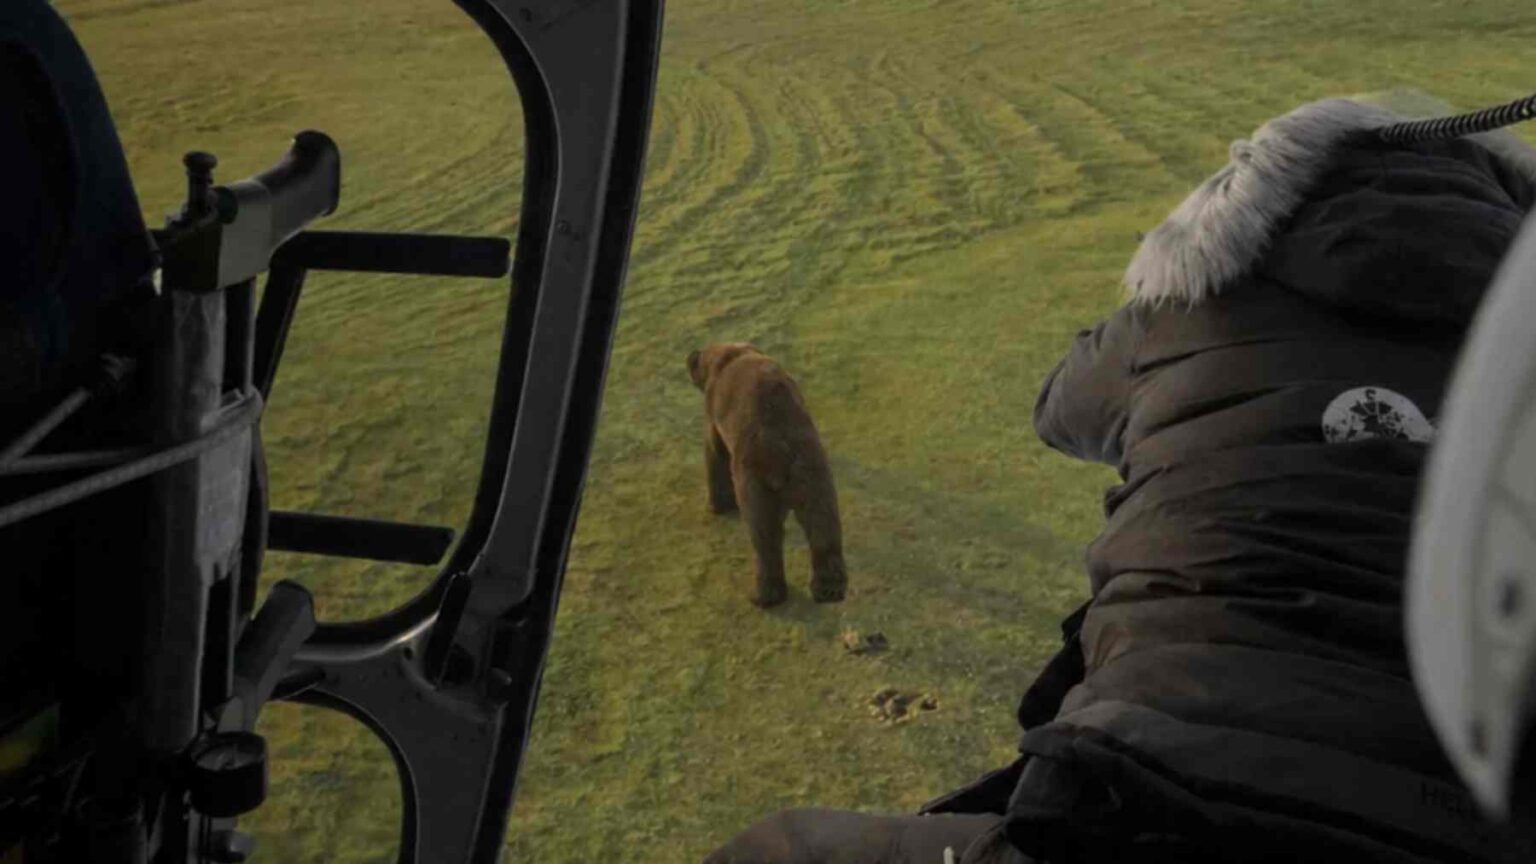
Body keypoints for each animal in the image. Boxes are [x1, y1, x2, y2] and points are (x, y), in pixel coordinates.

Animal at [686, 342, 846, 607]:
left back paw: (764, 598)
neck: (729, 352)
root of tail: (782, 448)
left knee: (764, 536)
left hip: (756, 483)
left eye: (696, 362)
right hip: (815, 475)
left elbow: (714, 455)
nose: (690, 355)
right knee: (823, 526)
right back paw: (829, 591)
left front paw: (716, 507)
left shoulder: (712, 414)